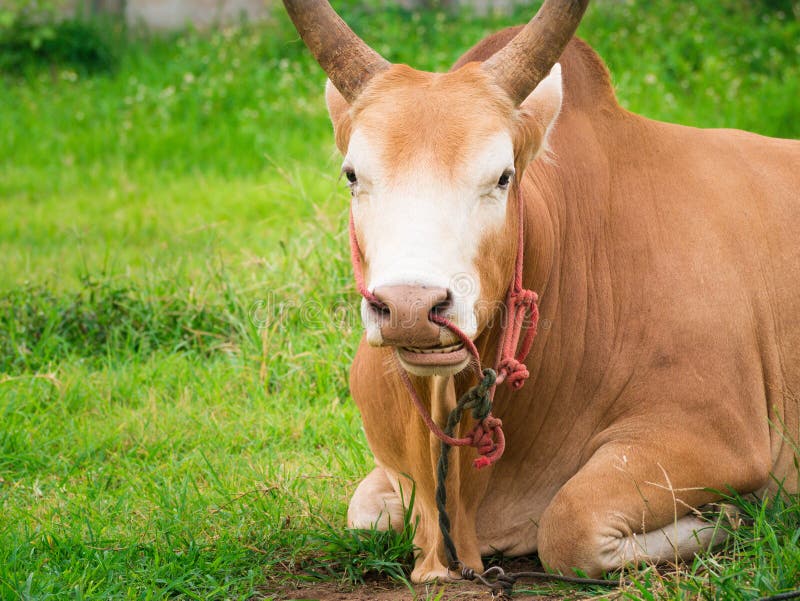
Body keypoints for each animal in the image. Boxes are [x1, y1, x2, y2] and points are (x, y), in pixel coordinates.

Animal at [282, 0, 800, 583]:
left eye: (503, 176)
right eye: (352, 174)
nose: (411, 307)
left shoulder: (717, 438)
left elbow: (568, 526)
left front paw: (732, 515)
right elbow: (366, 513)